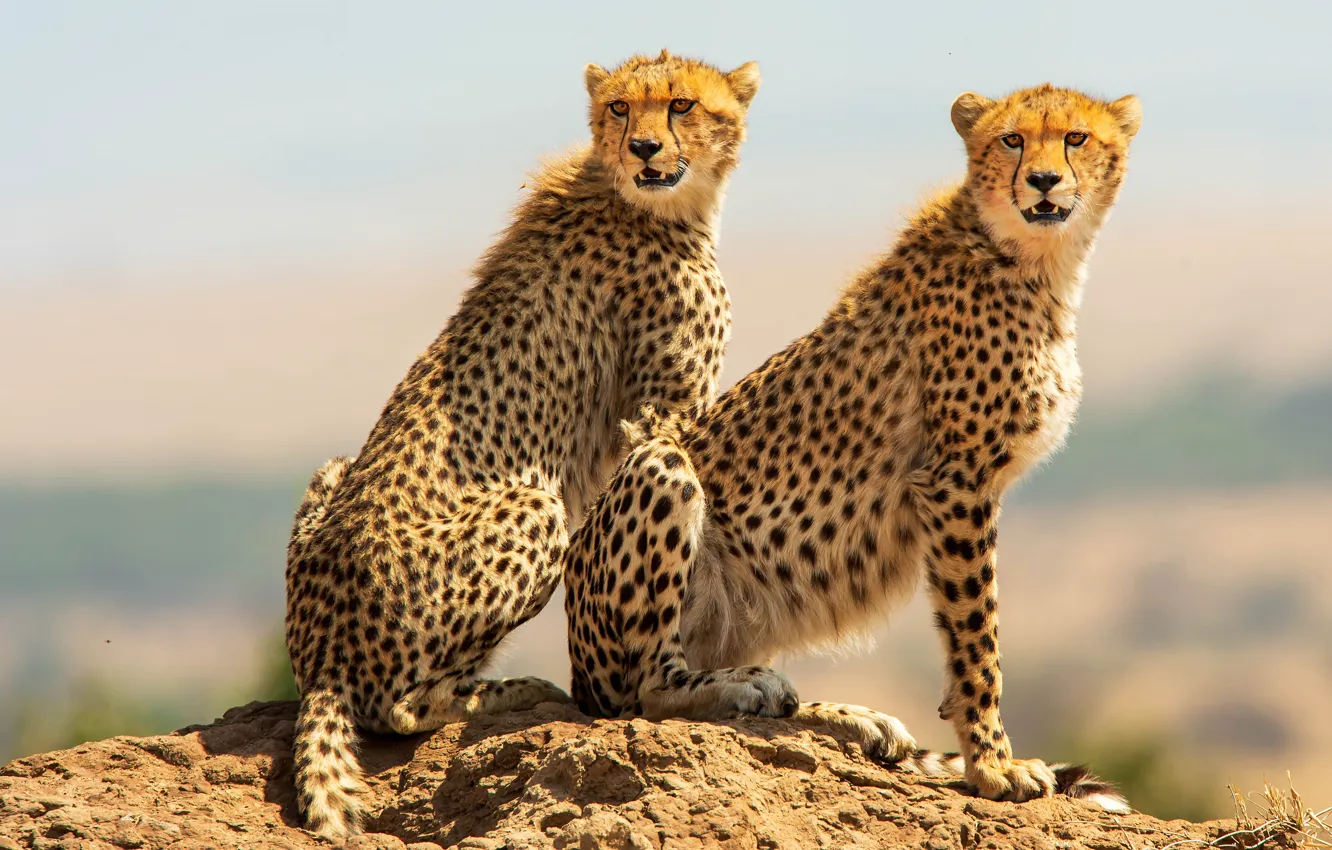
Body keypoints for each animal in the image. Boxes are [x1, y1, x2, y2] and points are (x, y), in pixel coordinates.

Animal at [284, 50, 760, 840]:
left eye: (682, 105)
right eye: (621, 109)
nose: (644, 149)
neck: (648, 202)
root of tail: (321, 657)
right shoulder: (666, 413)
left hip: (333, 473)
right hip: (538, 512)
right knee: (396, 709)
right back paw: (503, 693)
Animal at [564, 84, 1141, 811]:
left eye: (1076, 138)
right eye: (1012, 140)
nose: (1041, 181)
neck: (1036, 256)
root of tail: (575, 665)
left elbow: (970, 629)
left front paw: (979, 756)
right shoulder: (956, 482)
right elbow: (977, 635)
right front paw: (993, 766)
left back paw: (844, 716)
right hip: (659, 472)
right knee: (644, 689)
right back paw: (745, 687)